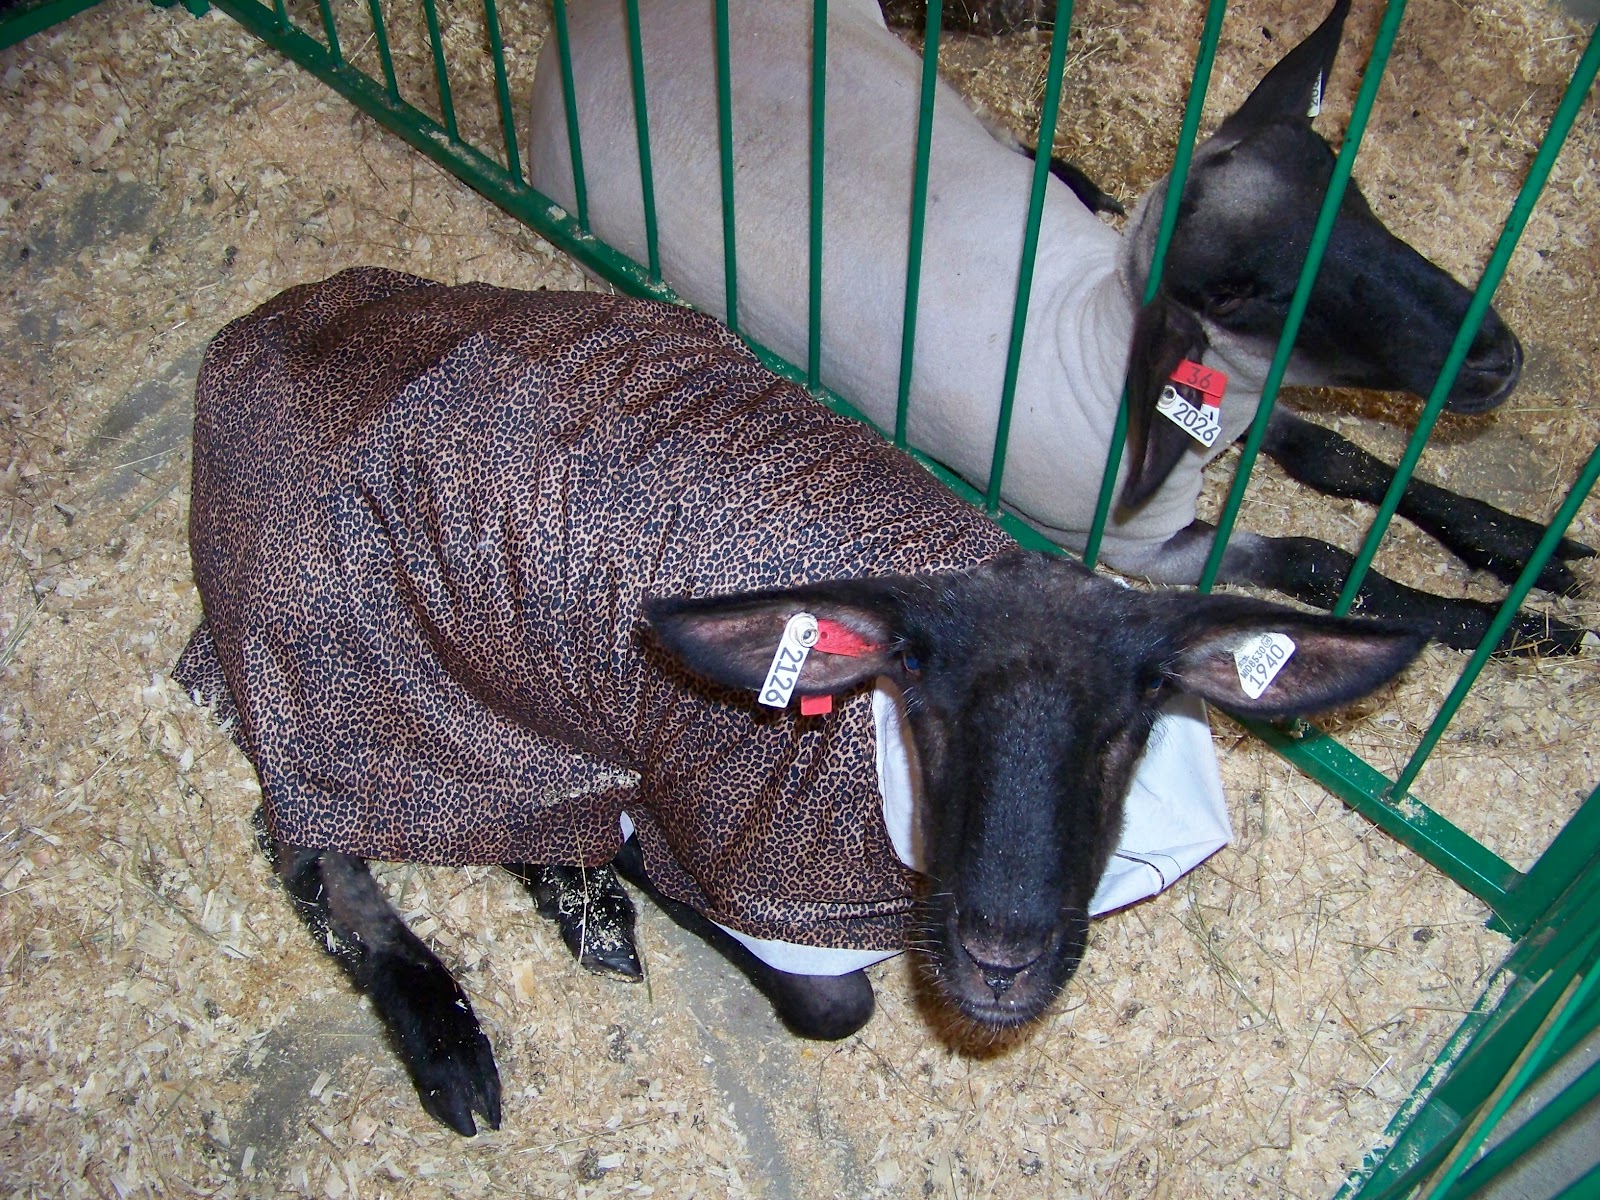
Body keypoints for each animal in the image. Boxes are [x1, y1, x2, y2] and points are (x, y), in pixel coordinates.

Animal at [176, 268, 1425, 1134]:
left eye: (1130, 726)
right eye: (923, 704)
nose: (1002, 955)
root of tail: (249, 337)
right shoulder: (728, 828)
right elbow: (832, 1004)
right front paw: (645, 877)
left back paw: (583, 907)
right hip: (349, 670)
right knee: (302, 844)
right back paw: (451, 1047)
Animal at [525, 0, 1594, 655]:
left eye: (1349, 184)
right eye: (1241, 292)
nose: (1497, 358)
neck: (1095, 334)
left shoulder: (1236, 410)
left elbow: (1343, 462)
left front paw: (1534, 550)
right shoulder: (1143, 547)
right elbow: (1316, 558)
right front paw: (1516, 627)